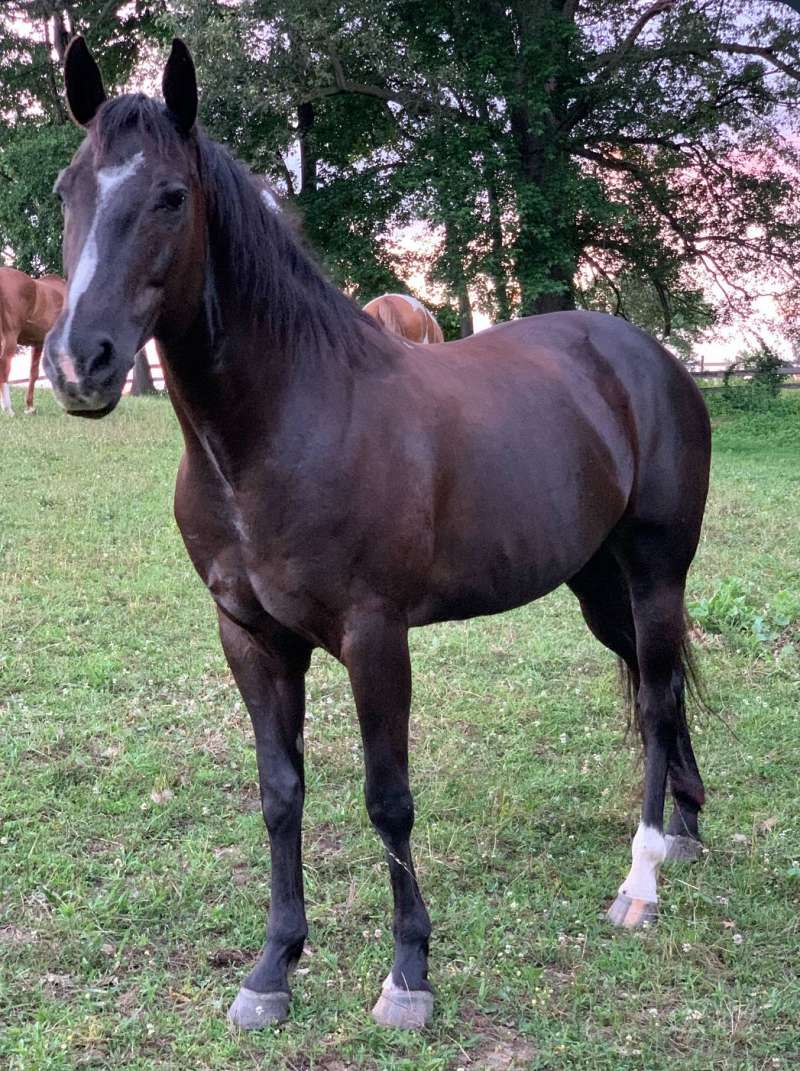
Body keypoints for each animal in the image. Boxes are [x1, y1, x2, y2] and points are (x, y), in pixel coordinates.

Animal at [44, 37, 711, 1032]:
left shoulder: (373, 634)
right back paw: (688, 831)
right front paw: (272, 967)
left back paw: (642, 878)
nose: (78, 362)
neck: (285, 423)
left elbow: (387, 798)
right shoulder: (250, 637)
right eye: (66, 190)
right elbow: (280, 792)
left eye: (169, 196)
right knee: (652, 686)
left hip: (656, 569)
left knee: (660, 700)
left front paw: (408, 972)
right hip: (599, 583)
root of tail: (649, 360)